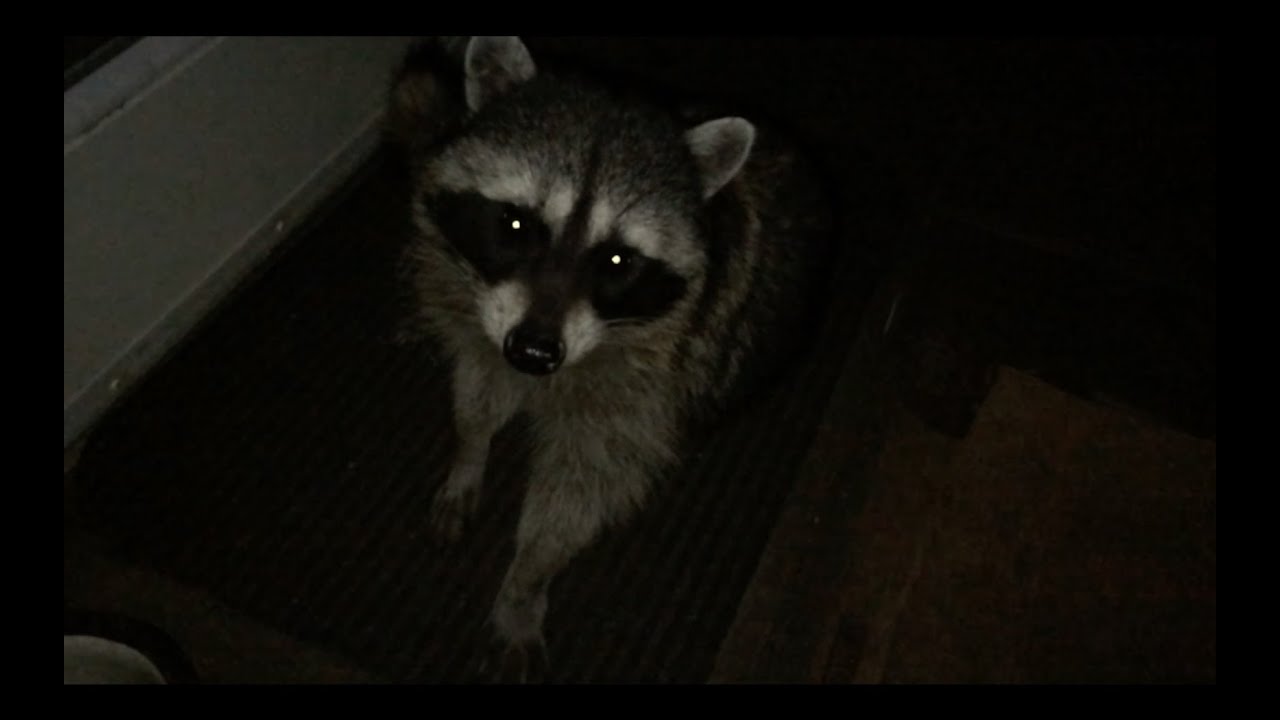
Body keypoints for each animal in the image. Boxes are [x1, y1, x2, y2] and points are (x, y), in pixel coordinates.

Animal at [389, 36, 833, 682]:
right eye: (516, 224)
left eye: (618, 261)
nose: (535, 352)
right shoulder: (481, 310)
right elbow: (478, 385)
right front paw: (469, 452)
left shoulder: (647, 382)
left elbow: (583, 489)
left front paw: (525, 585)